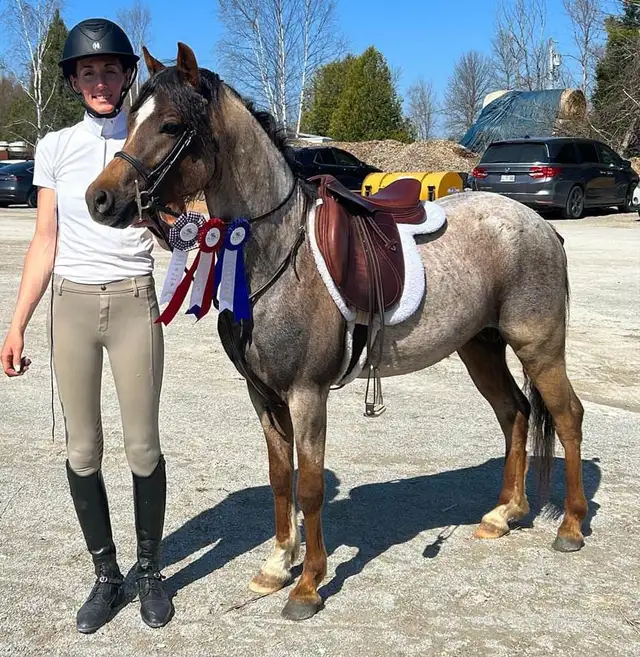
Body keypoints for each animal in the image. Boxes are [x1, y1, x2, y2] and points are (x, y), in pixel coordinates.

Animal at [85, 42, 588, 621]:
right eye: (131, 119)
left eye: (170, 124)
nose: (99, 200)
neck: (278, 254)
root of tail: (540, 224)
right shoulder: (263, 396)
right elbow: (280, 480)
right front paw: (277, 566)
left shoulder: (307, 394)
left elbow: (308, 486)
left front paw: (307, 585)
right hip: (479, 348)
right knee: (515, 414)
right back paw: (504, 514)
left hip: (539, 348)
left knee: (567, 417)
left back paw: (571, 526)